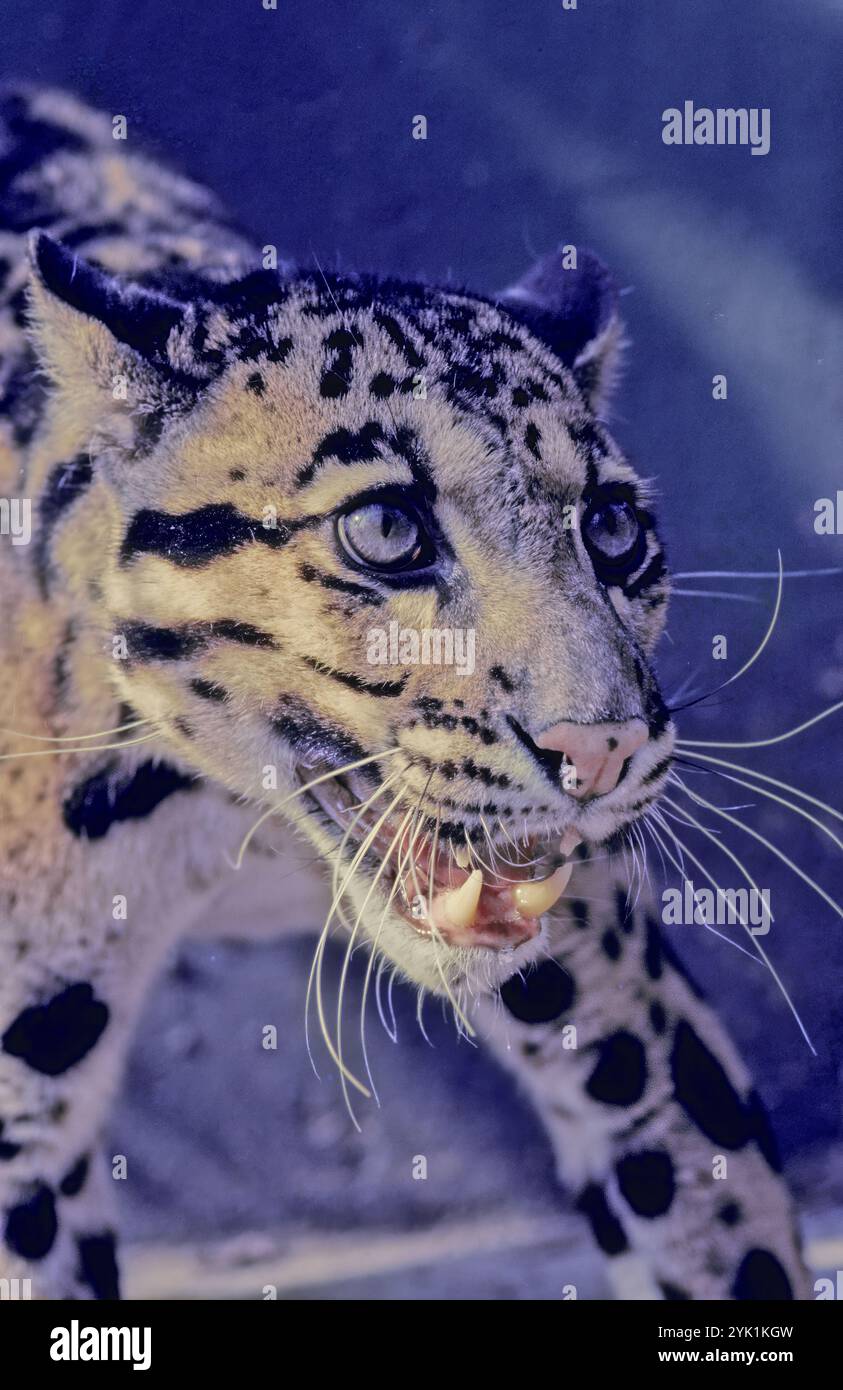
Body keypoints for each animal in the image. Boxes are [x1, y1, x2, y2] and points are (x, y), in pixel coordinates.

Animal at [0, 85, 809, 1301]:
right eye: (387, 528)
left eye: (614, 528)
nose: (604, 749)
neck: (216, 824)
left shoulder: (611, 993)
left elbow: (714, 1214)